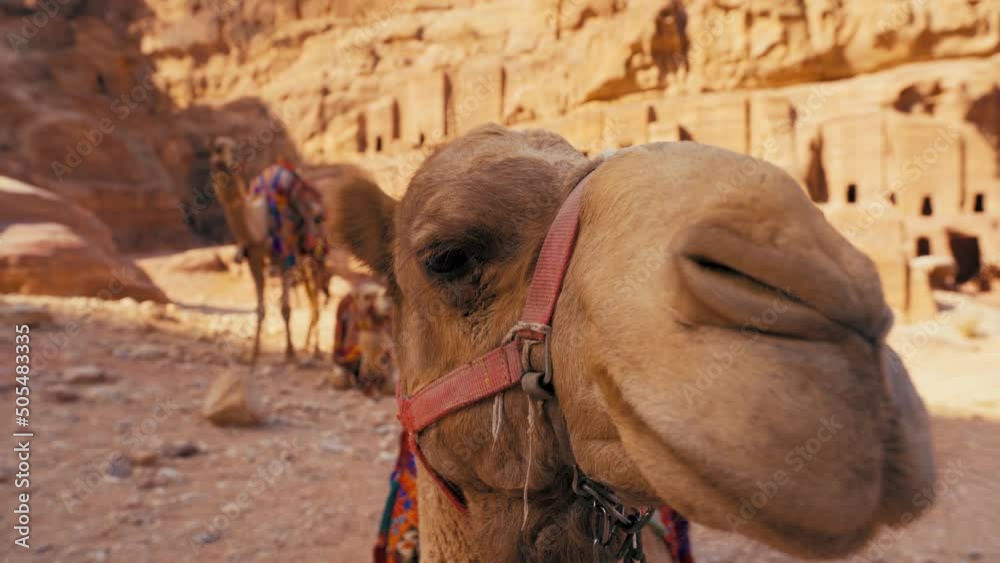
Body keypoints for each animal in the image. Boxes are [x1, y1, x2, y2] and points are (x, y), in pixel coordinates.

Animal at [209, 137, 330, 363]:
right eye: (215, 156)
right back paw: (307, 346)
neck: (259, 223)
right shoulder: (254, 258)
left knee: (317, 294)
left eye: (236, 154)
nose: (230, 164)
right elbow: (259, 309)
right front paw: (254, 354)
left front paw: (290, 353)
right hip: (301, 259)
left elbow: (285, 308)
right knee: (310, 293)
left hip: (314, 252)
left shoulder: (284, 256)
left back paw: (316, 349)